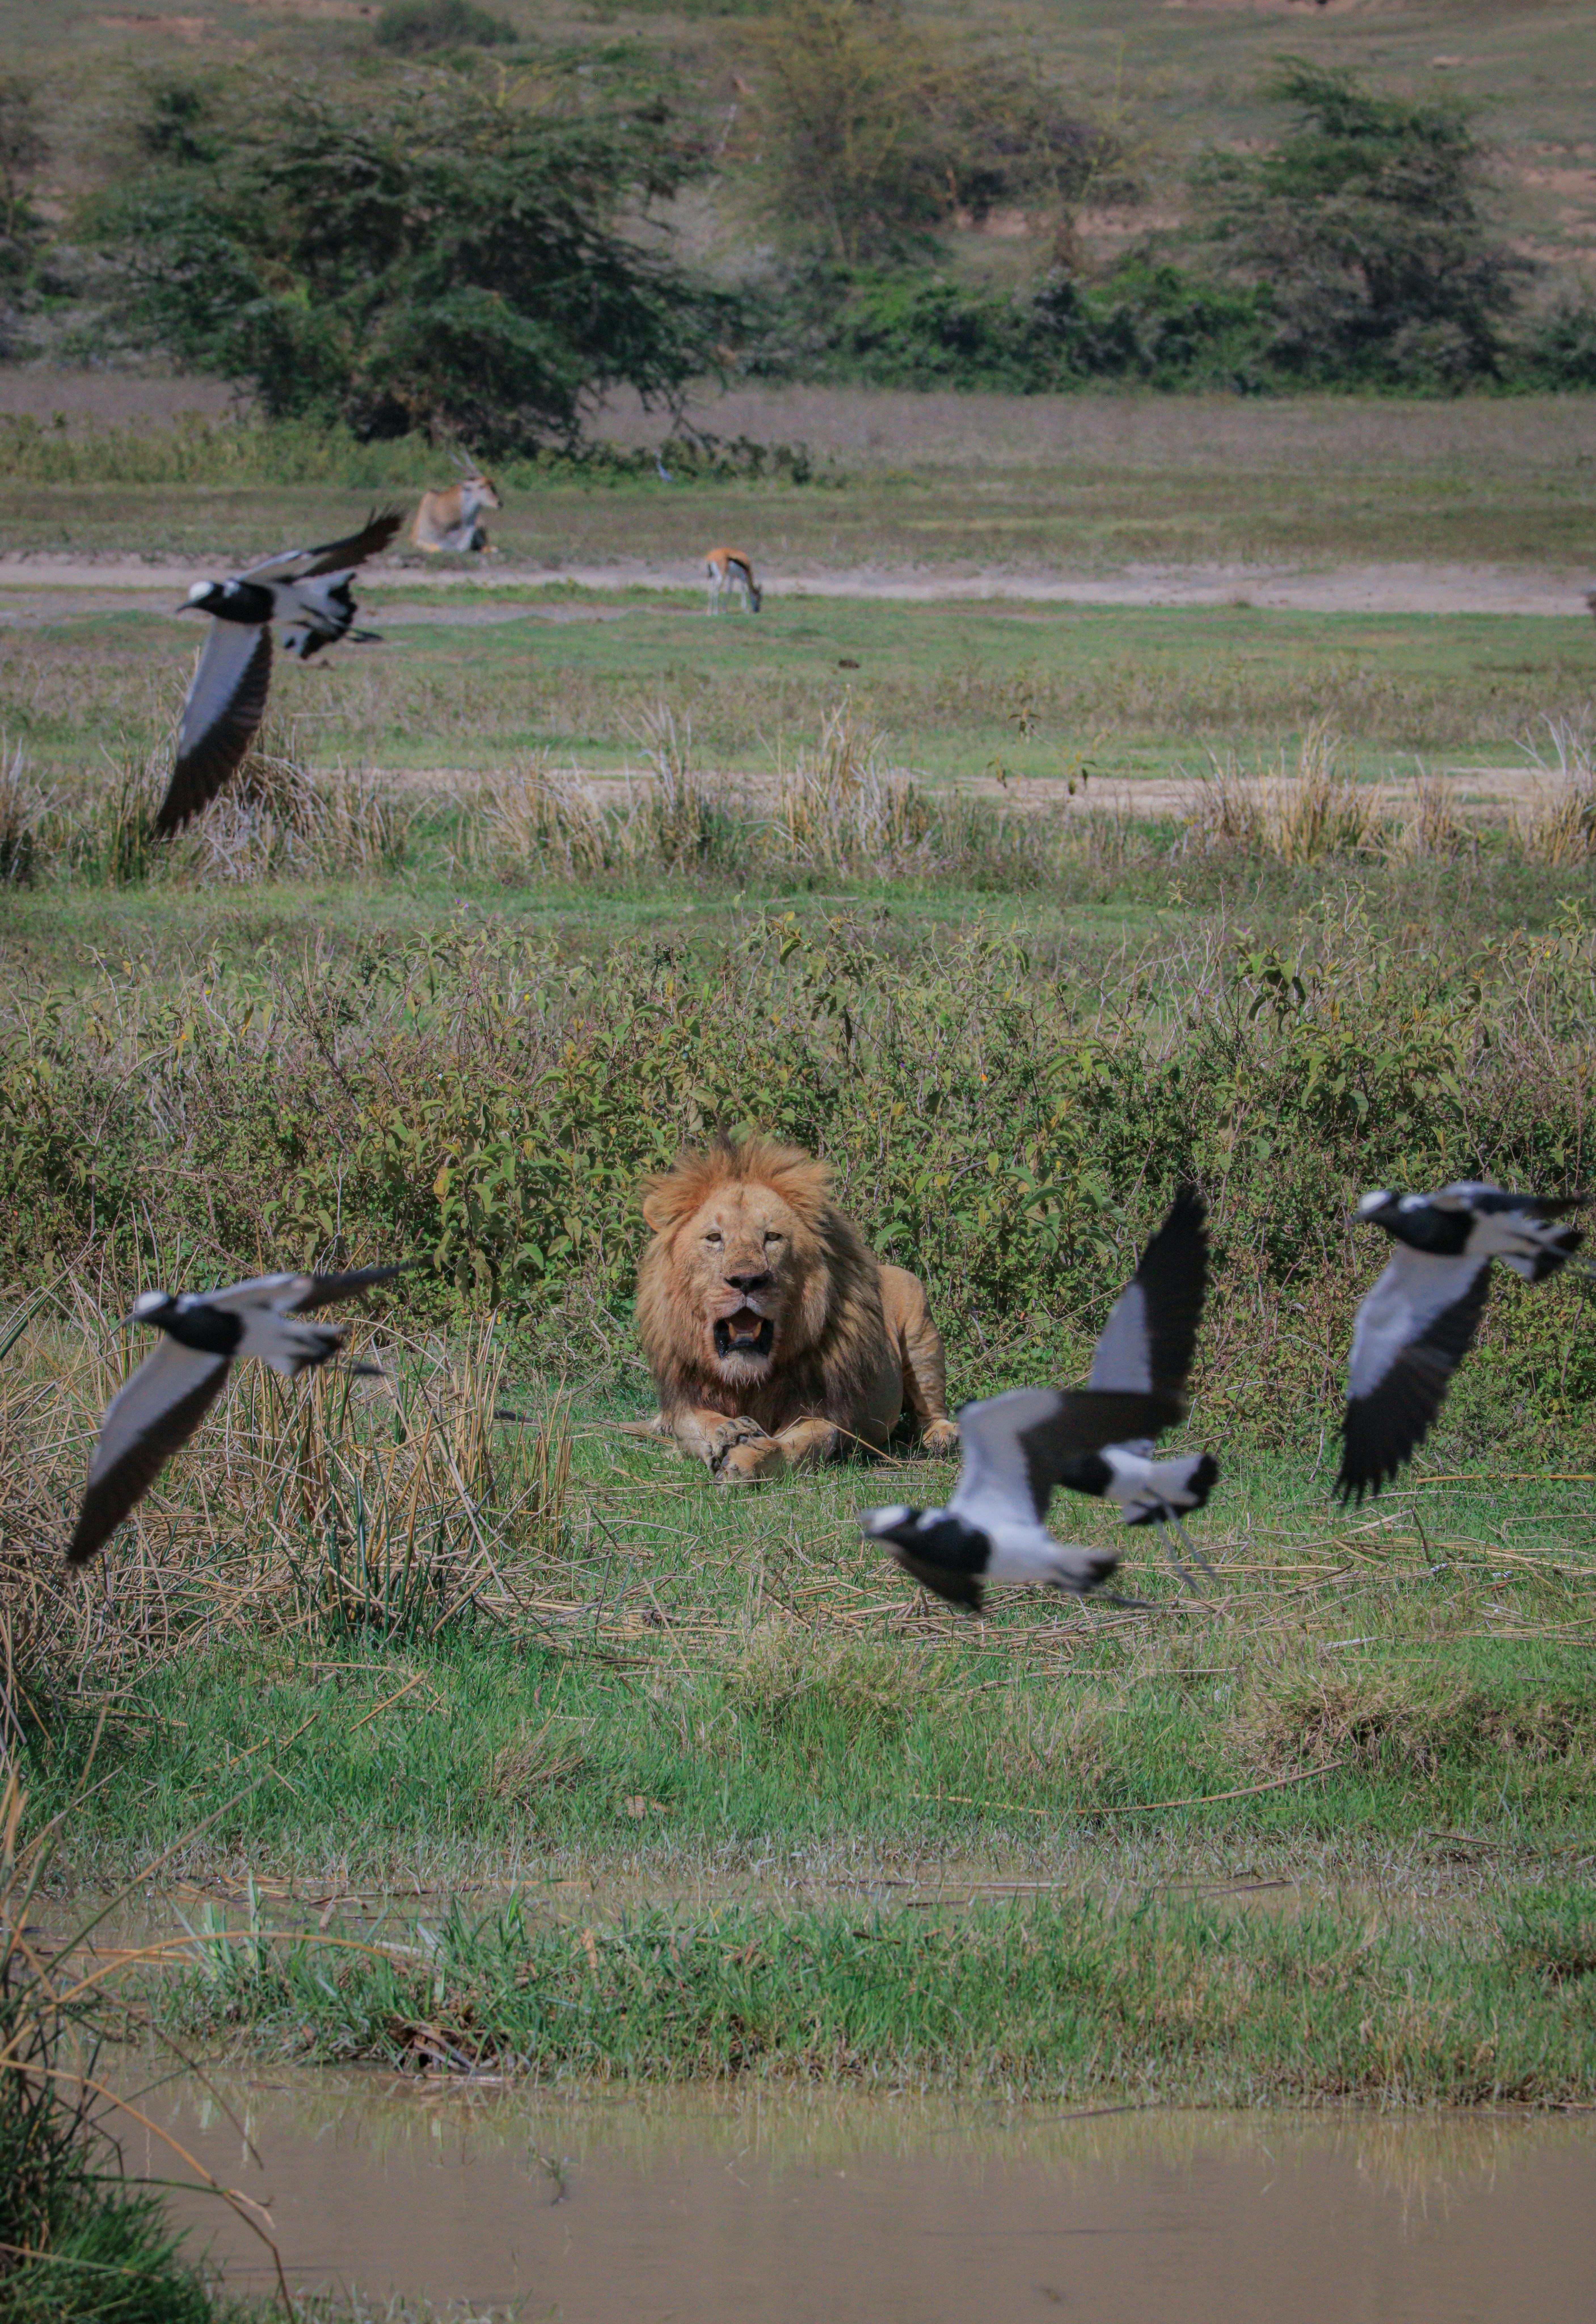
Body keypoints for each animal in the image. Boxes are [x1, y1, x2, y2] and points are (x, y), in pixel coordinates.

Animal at [635, 1133, 962, 1484]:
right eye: (714, 1237)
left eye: (772, 1237)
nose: (747, 1280)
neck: (747, 1380)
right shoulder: (689, 1399)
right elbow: (697, 1423)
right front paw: (730, 1430)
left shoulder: (820, 1411)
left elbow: (792, 1447)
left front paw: (747, 1459)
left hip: (920, 1323)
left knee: (932, 1405)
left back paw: (941, 1437)